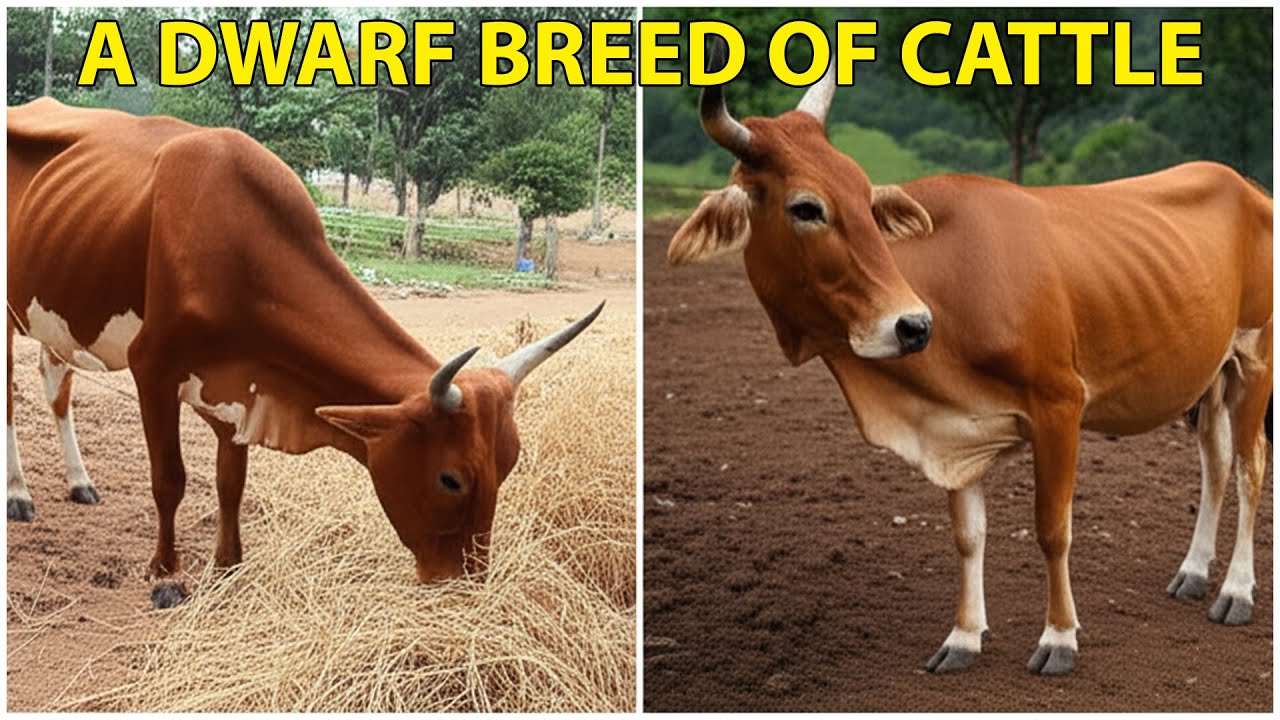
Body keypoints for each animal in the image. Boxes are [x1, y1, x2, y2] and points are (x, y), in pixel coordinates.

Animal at [7, 97, 603, 591]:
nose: (465, 584)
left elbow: (231, 480)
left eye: (510, 461)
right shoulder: (153, 367)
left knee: (56, 387)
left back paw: (80, 481)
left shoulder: (237, 382)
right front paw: (165, 573)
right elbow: (169, 479)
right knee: (14, 404)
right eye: (450, 478)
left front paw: (229, 565)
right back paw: (18, 494)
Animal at [667, 59, 1272, 675]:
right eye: (805, 207)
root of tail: (1246, 185)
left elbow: (1052, 529)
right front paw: (963, 636)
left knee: (1249, 471)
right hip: (1211, 377)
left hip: (1256, 361)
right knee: (1216, 464)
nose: (911, 326)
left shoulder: (1060, 405)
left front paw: (1058, 637)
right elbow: (968, 536)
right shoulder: (955, 424)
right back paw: (1193, 571)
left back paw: (1235, 591)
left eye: (867, 200)